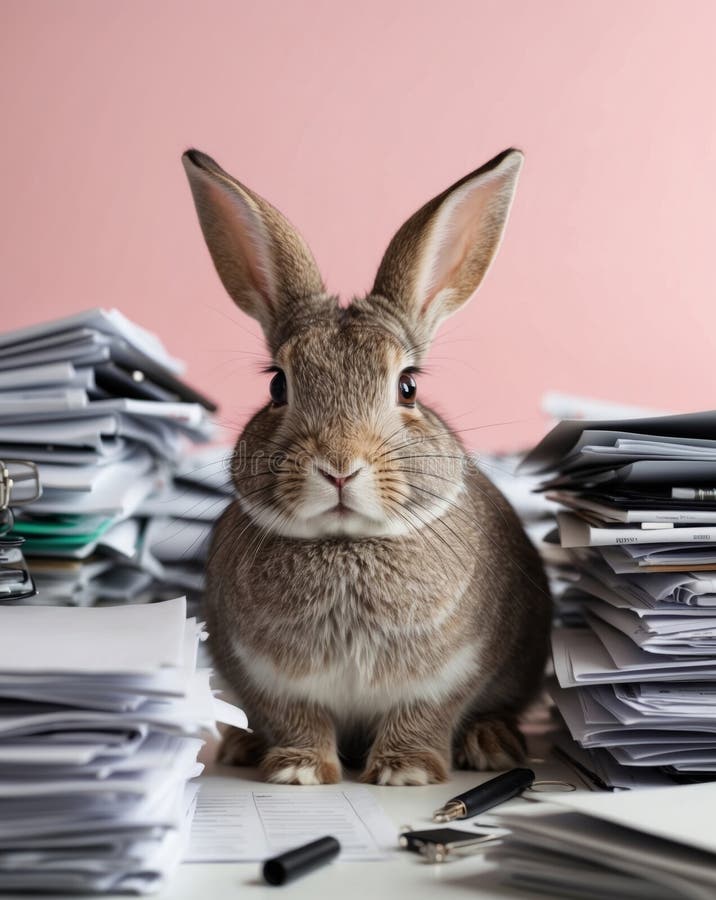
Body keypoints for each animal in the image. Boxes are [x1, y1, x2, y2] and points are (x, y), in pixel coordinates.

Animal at [182, 146, 552, 786]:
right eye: (277, 386)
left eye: (408, 387)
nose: (338, 466)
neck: (346, 543)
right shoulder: (264, 677)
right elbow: (296, 718)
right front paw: (298, 770)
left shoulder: (454, 673)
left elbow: (423, 716)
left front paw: (405, 772)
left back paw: (491, 743)